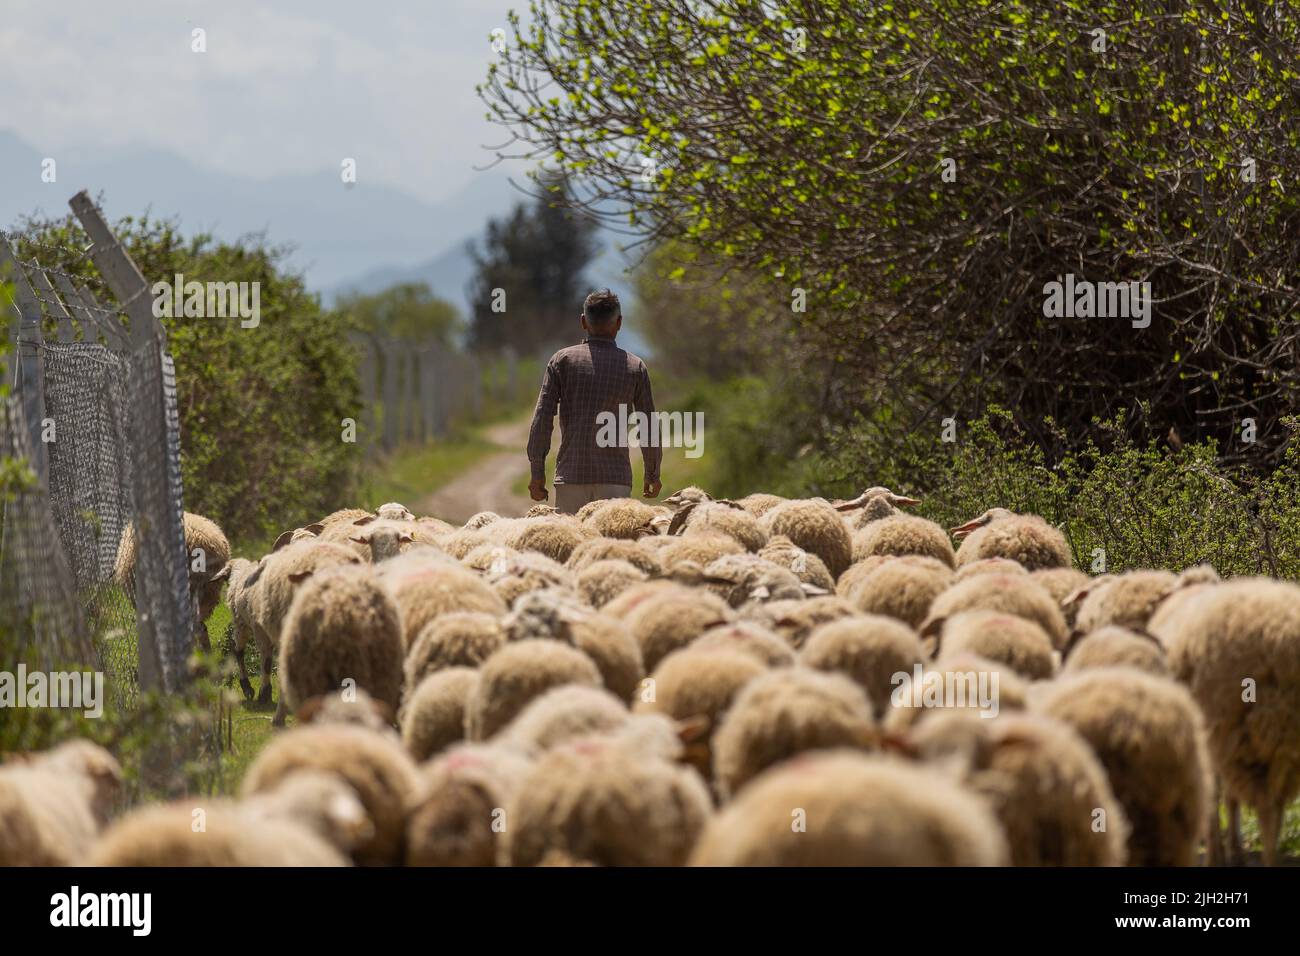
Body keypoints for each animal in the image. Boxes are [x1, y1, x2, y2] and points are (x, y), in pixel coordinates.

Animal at [1150, 577, 1300, 867]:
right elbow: (1229, 797)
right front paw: (1233, 849)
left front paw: (1222, 852)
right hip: (1276, 741)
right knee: (1271, 807)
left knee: (1261, 805)